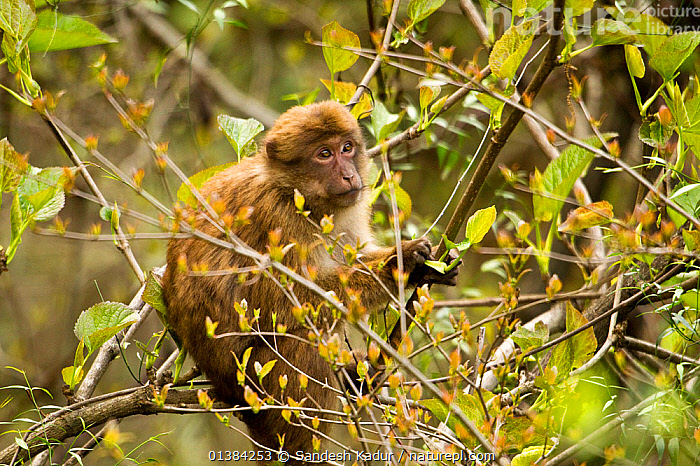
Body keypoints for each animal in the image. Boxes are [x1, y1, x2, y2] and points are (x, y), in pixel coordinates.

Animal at [162, 100, 458, 463]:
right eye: (324, 154)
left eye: (347, 148)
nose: (349, 175)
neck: (291, 191)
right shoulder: (276, 219)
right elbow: (290, 304)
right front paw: (398, 266)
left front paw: (427, 268)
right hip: (252, 382)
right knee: (301, 342)